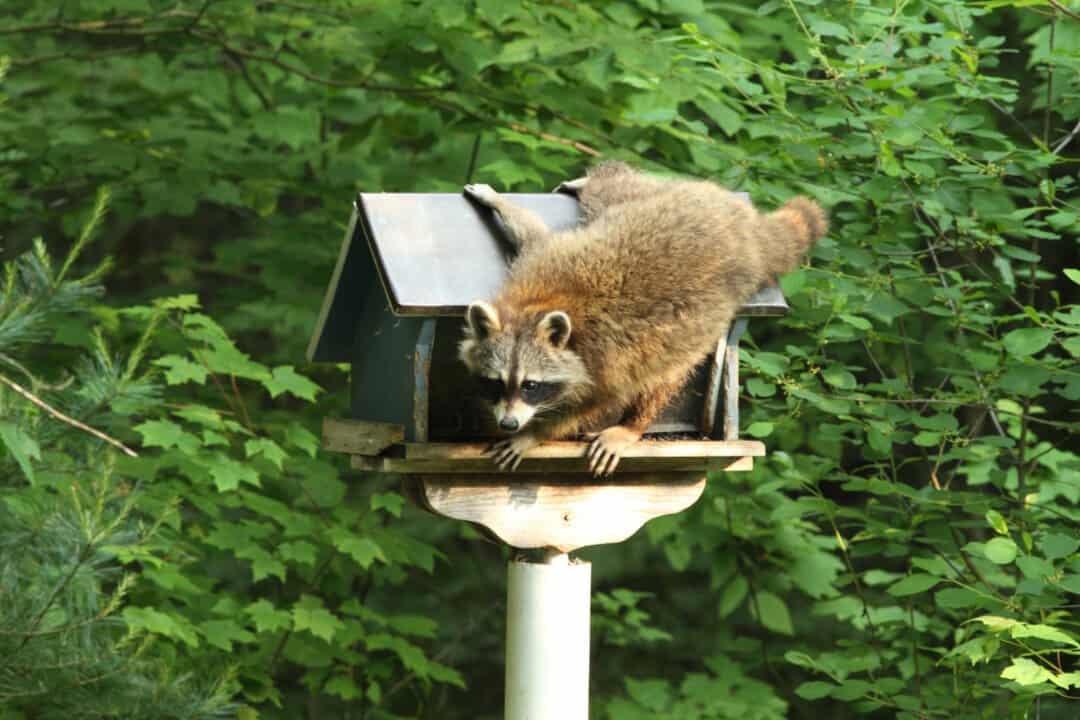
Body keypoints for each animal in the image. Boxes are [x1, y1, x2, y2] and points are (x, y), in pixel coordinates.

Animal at [459, 161, 826, 476]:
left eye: (531, 386)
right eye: (495, 382)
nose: (508, 424)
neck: (537, 307)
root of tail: (747, 227)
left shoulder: (604, 361)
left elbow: (594, 404)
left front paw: (534, 435)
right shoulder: (540, 263)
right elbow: (533, 234)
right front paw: (500, 203)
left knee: (665, 374)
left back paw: (633, 425)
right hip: (657, 200)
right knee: (619, 193)